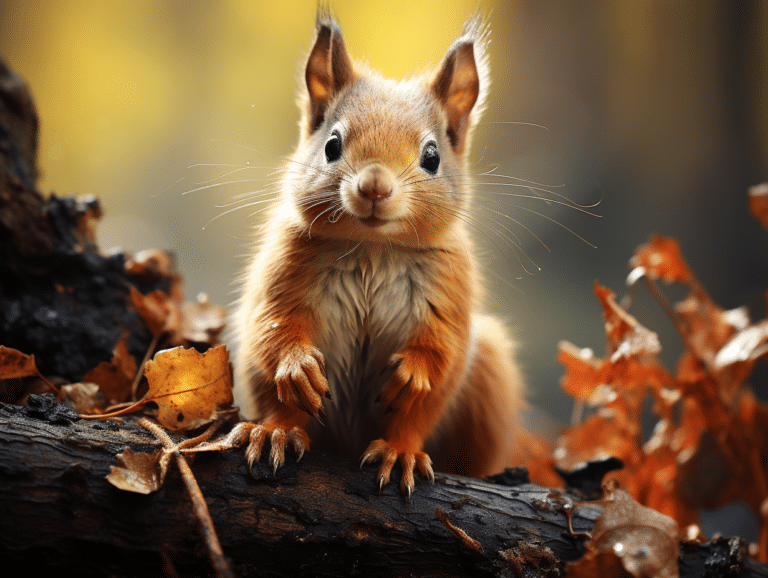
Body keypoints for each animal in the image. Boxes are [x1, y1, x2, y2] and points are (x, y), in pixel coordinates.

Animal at [230, 12, 526, 497]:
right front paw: (297, 369)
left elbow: (439, 355)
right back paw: (275, 430)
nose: (374, 186)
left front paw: (412, 386)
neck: (373, 248)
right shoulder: (282, 271)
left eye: (432, 156)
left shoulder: (448, 292)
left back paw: (403, 453)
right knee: (286, 410)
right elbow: (272, 328)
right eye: (331, 144)